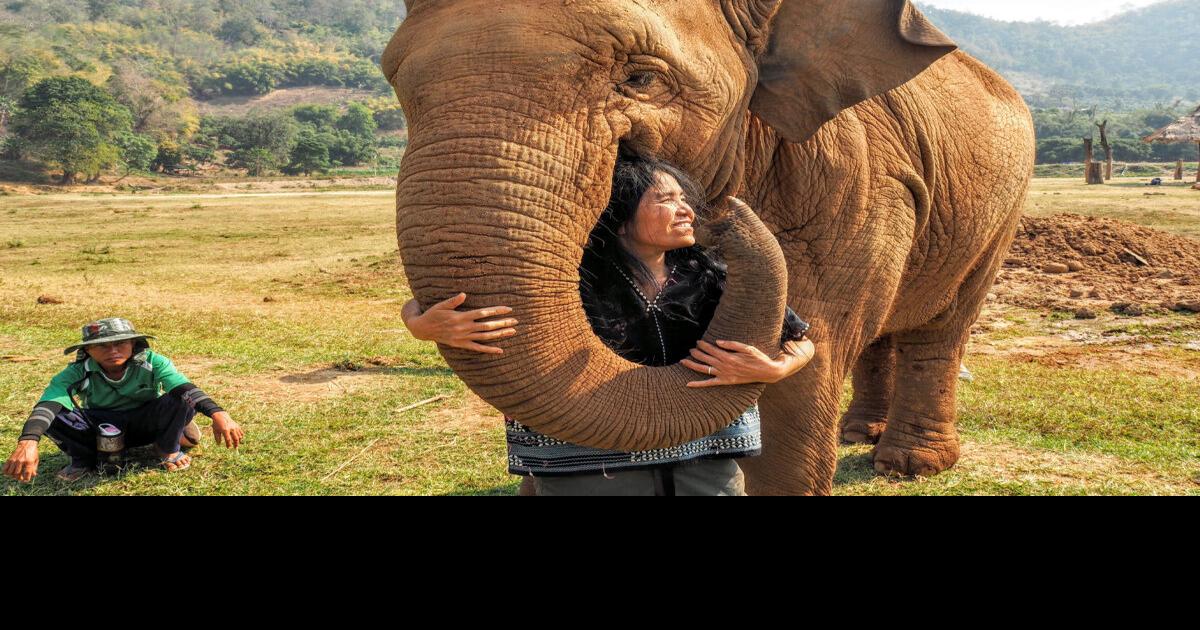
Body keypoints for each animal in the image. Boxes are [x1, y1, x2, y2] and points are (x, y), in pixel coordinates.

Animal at [382, 0, 1035, 495]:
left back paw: (908, 465)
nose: (710, 214)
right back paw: (859, 435)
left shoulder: (861, 176)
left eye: (641, 78)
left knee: (944, 327)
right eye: (397, 87)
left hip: (1004, 207)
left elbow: (811, 353)